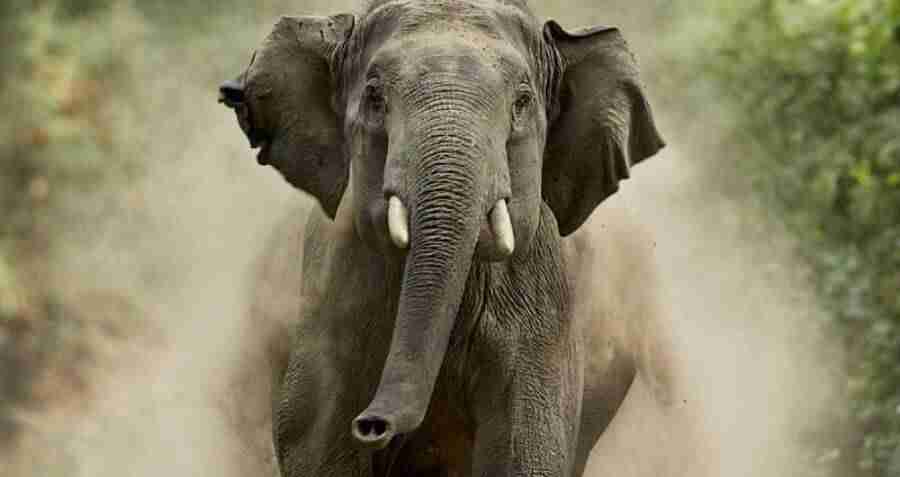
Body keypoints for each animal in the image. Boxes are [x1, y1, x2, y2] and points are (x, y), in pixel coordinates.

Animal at [218, 1, 672, 475]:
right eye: (375, 97)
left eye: (522, 102)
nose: (372, 425)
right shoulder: (332, 286)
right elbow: (313, 439)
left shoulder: (541, 297)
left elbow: (528, 450)